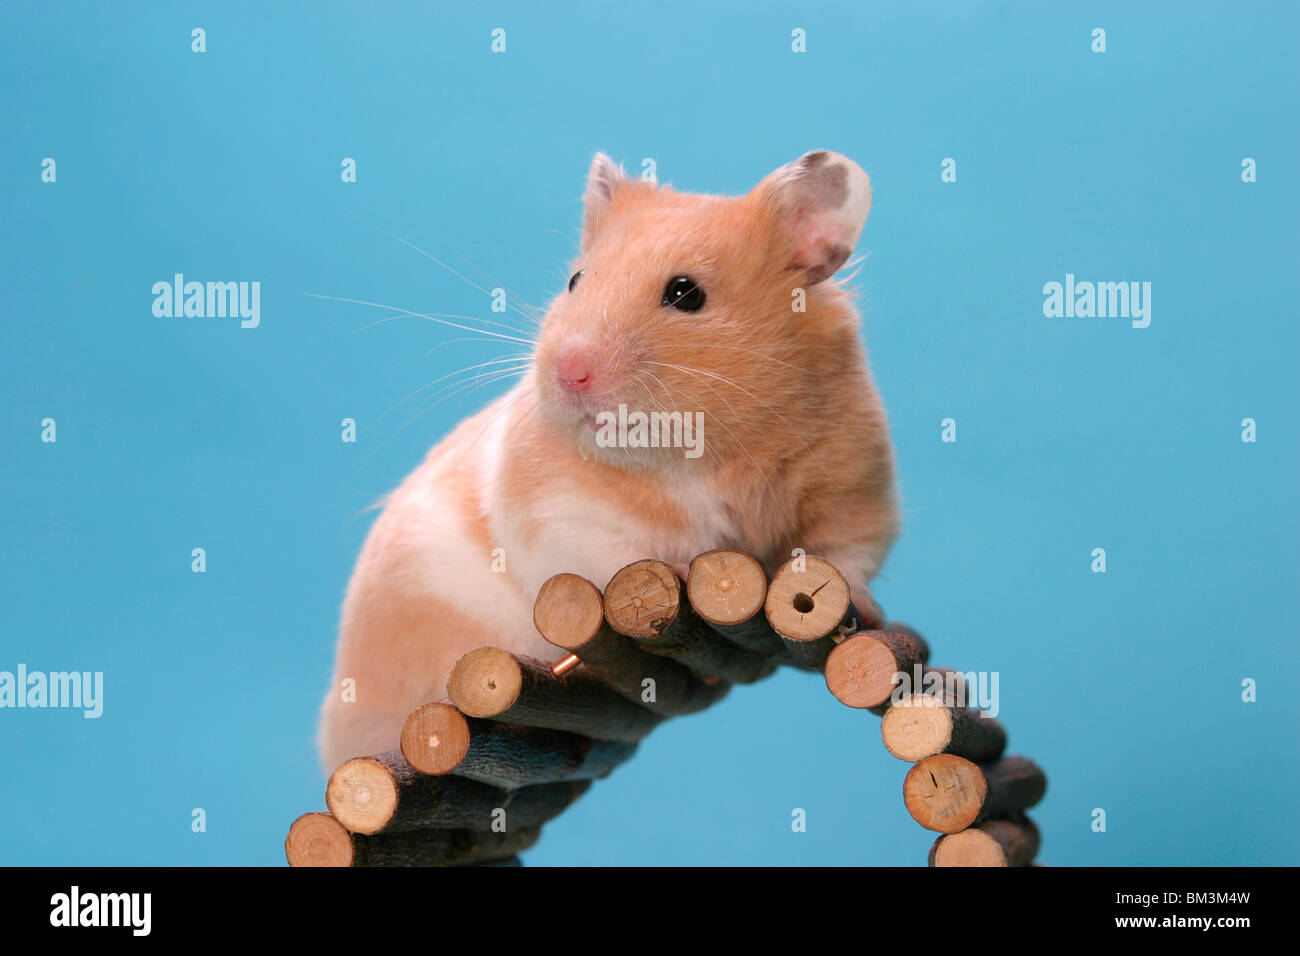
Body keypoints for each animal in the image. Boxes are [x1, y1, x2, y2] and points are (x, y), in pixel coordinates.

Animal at [318, 150, 899, 769]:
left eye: (686, 294)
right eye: (575, 280)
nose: (568, 373)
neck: (705, 452)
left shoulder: (857, 486)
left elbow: (846, 554)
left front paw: (869, 614)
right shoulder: (560, 514)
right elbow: (614, 554)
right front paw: (682, 570)